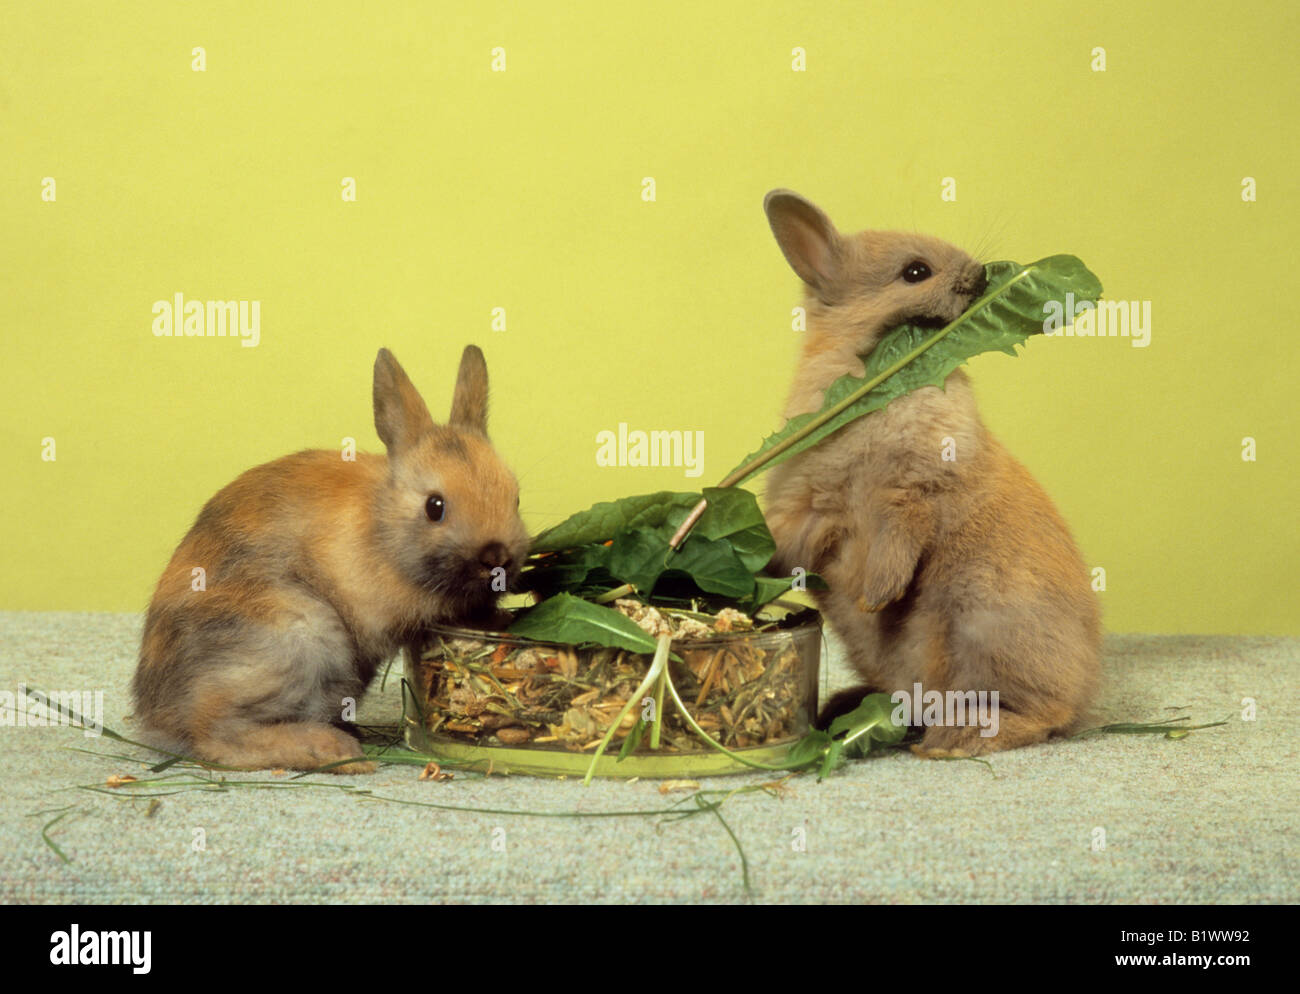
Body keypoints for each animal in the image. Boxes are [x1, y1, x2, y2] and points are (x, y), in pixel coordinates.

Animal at [131, 345, 530, 774]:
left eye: (515, 498)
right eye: (434, 507)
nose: (496, 557)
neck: (382, 529)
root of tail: (157, 713)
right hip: (302, 637)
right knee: (216, 734)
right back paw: (337, 752)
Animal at [760, 190, 1101, 757]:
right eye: (915, 272)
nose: (981, 275)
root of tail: (1087, 685)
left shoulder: (916, 491)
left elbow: (900, 536)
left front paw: (878, 594)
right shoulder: (810, 507)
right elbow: (790, 542)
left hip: (986, 626)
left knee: (1044, 715)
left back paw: (956, 737)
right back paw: (845, 712)